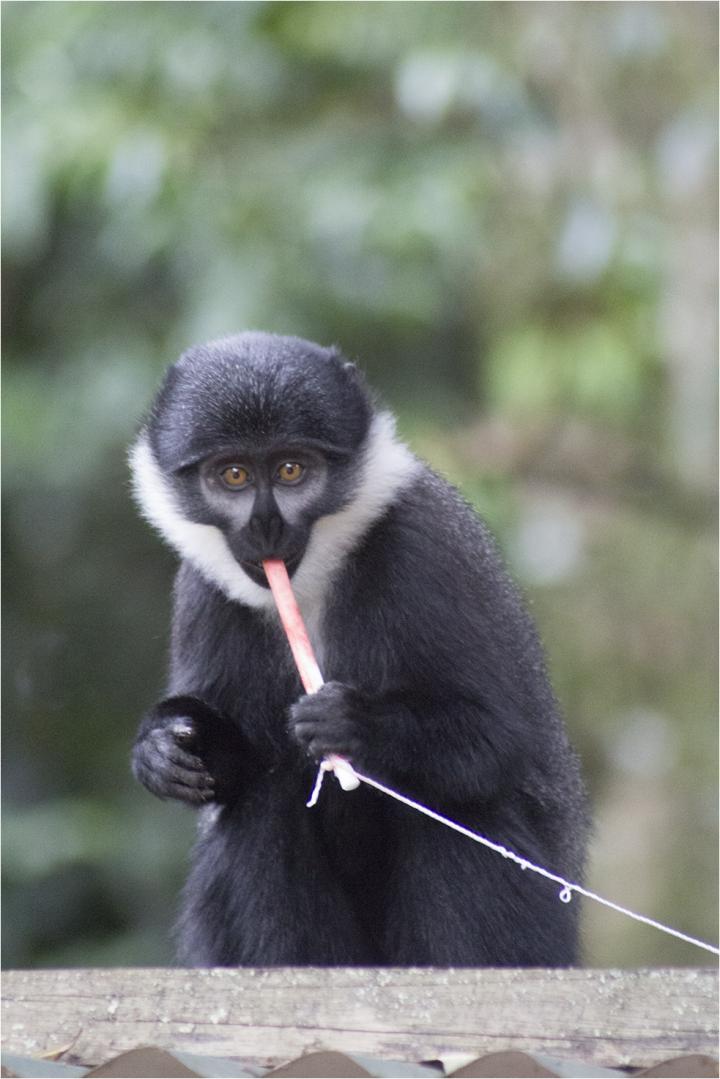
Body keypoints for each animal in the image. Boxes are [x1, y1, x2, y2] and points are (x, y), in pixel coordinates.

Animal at [130, 331, 588, 966]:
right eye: (234, 476)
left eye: (292, 469)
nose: (266, 527)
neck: (313, 579)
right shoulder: (203, 589)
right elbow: (233, 770)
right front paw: (162, 748)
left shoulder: (422, 547)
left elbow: (495, 740)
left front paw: (352, 721)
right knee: (263, 797)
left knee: (463, 802)